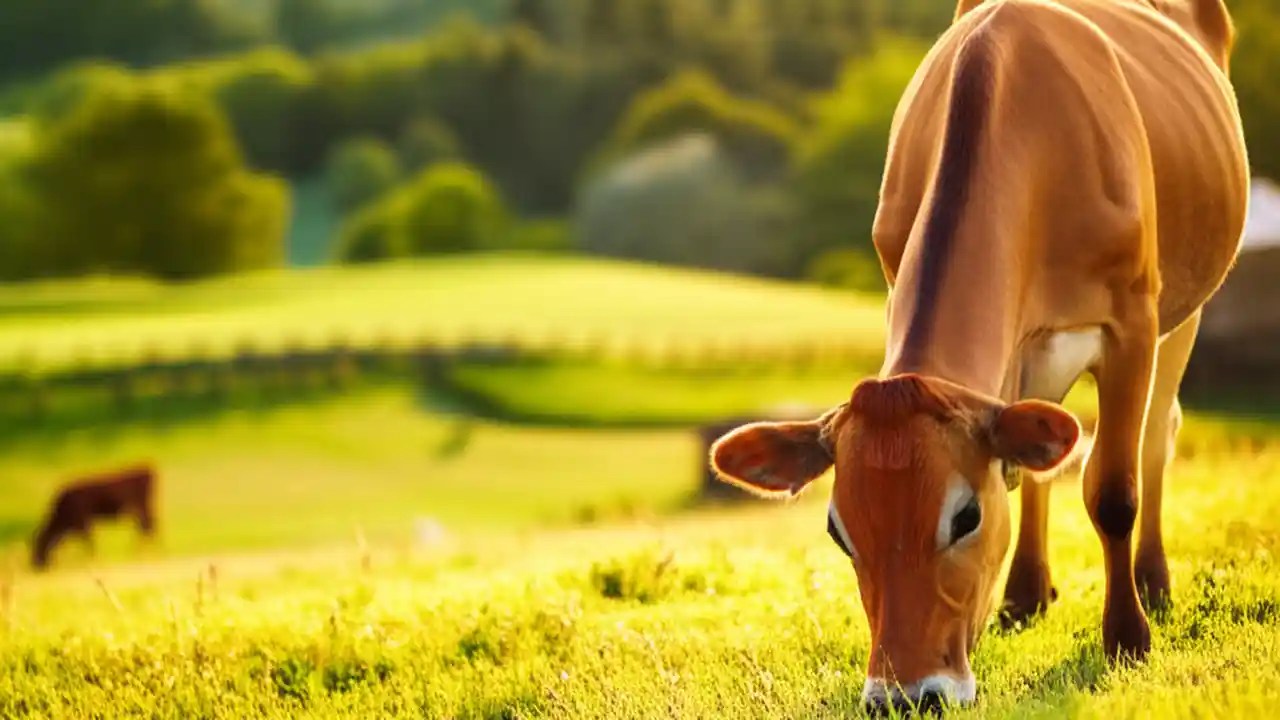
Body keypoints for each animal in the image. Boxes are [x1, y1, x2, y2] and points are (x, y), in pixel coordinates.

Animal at [709, 0, 1247, 712]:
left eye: (965, 517)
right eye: (837, 531)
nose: (907, 696)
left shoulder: (1132, 319)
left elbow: (1112, 488)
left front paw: (1127, 639)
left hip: (1183, 308)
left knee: (1158, 432)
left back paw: (1153, 582)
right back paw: (1026, 593)